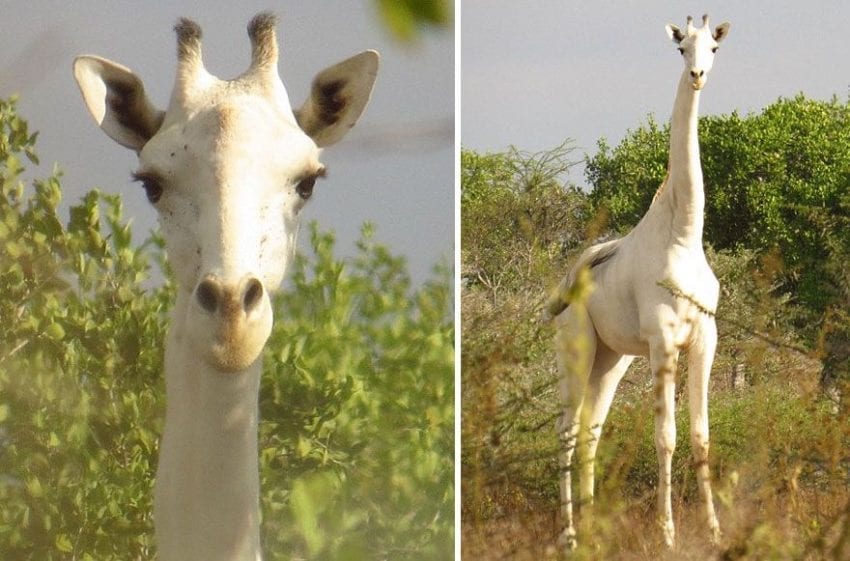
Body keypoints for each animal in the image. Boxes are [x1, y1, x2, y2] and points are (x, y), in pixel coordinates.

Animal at [545, 15, 730, 550]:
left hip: (613, 358)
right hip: (577, 346)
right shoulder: (663, 339)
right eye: (681, 48)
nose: (698, 75)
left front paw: (714, 530)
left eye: (714, 48)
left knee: (592, 429)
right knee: (566, 431)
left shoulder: (705, 337)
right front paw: (667, 533)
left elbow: (701, 434)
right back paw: (568, 534)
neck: (683, 235)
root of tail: (561, 288)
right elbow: (665, 436)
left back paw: (591, 530)